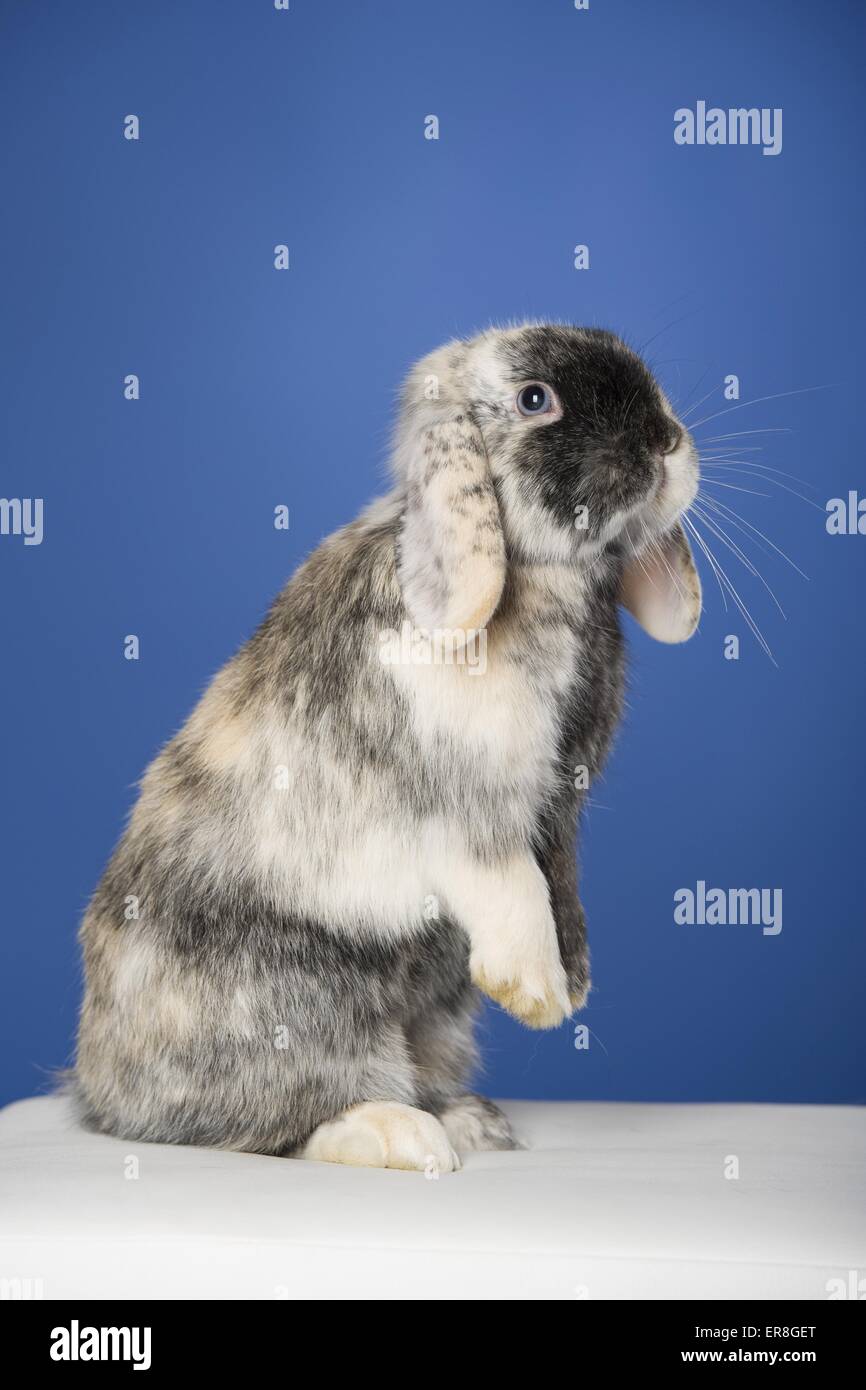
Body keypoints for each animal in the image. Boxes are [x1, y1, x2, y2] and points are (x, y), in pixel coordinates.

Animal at [74, 323, 701, 1172]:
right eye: (536, 399)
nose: (666, 442)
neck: (547, 575)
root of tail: (98, 1093)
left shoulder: (559, 815)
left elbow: (560, 887)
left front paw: (573, 981)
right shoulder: (471, 811)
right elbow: (514, 885)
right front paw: (536, 993)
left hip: (433, 1010)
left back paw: (471, 1121)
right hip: (304, 1010)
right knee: (284, 1123)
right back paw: (404, 1137)